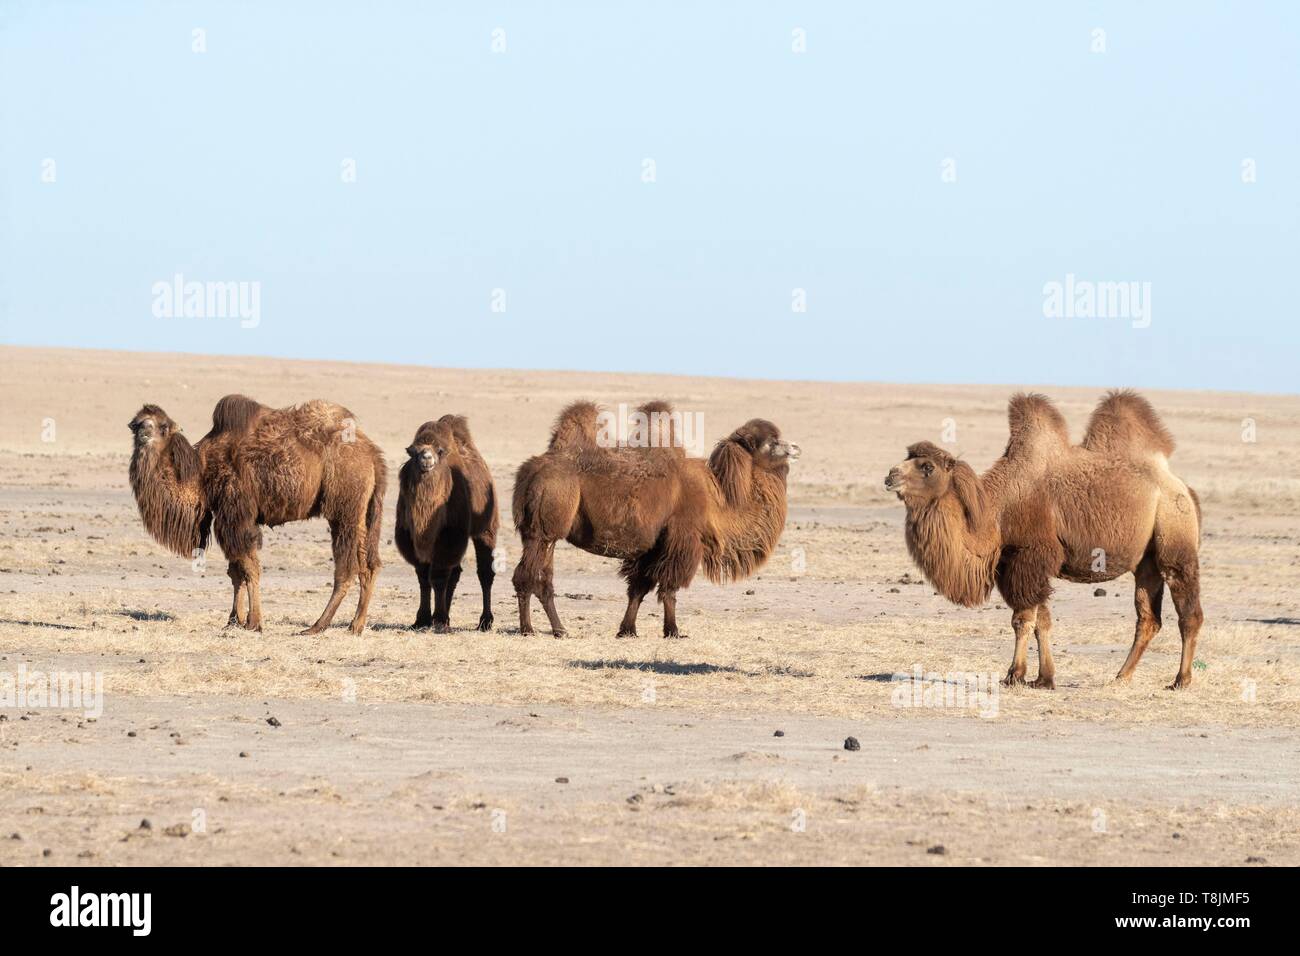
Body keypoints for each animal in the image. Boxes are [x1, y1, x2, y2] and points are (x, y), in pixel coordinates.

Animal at [128, 395, 386, 634]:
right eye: (137, 423)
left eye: (162, 426)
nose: (144, 434)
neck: (202, 473)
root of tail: (372, 454)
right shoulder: (226, 518)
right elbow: (235, 572)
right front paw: (233, 620)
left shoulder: (236, 515)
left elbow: (249, 568)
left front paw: (254, 623)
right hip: (365, 511)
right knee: (369, 564)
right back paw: (356, 625)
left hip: (345, 508)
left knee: (347, 567)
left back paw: (317, 626)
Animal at [394, 415, 499, 632]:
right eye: (414, 451)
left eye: (439, 451)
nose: (426, 458)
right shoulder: (411, 537)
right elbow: (423, 576)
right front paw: (422, 619)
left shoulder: (449, 534)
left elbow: (439, 576)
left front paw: (439, 619)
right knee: (455, 573)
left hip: (485, 527)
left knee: (484, 573)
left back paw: (484, 621)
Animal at [512, 400, 800, 638]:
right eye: (771, 442)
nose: (796, 448)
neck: (718, 499)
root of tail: (530, 471)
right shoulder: (683, 539)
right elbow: (669, 589)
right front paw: (673, 631)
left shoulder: (654, 546)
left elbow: (638, 588)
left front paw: (627, 630)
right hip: (545, 525)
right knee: (526, 576)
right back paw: (530, 629)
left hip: (542, 533)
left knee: (543, 579)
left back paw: (558, 629)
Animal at [884, 391, 1203, 690]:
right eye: (907, 459)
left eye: (927, 467)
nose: (890, 475)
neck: (996, 514)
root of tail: (1182, 487)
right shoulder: (1020, 565)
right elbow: (1043, 622)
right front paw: (1044, 678)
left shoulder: (1029, 556)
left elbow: (1022, 620)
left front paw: (1014, 675)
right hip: (1145, 561)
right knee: (1148, 618)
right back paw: (1121, 676)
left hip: (1175, 535)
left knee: (1188, 612)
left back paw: (1181, 680)